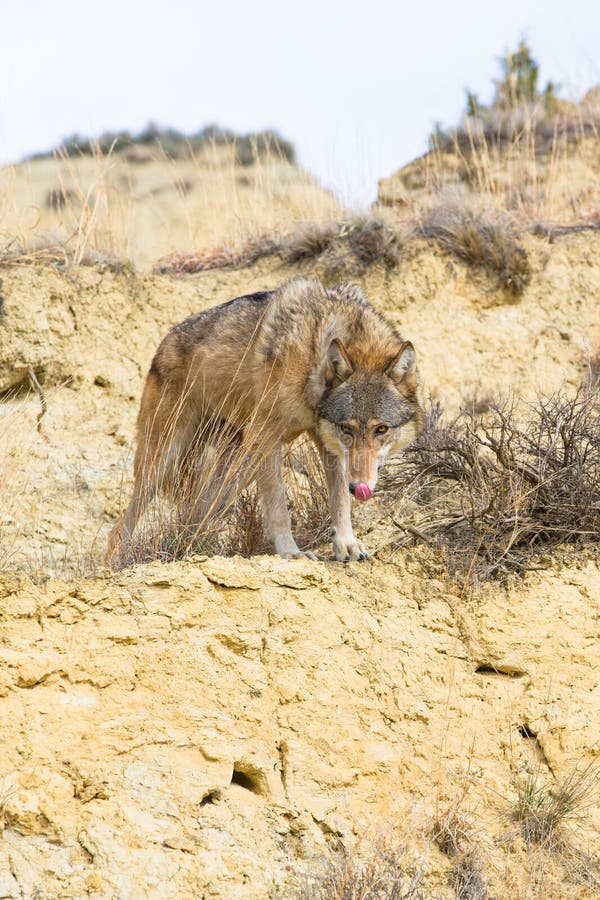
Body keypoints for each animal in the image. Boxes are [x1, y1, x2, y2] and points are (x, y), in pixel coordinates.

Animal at [106, 277, 423, 563]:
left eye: (381, 429)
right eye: (348, 428)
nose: (360, 488)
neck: (314, 361)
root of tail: (165, 340)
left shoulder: (327, 442)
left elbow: (339, 499)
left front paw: (346, 544)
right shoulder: (269, 436)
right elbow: (278, 505)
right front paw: (291, 552)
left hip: (237, 469)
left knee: (195, 514)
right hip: (164, 463)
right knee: (122, 524)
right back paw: (114, 562)